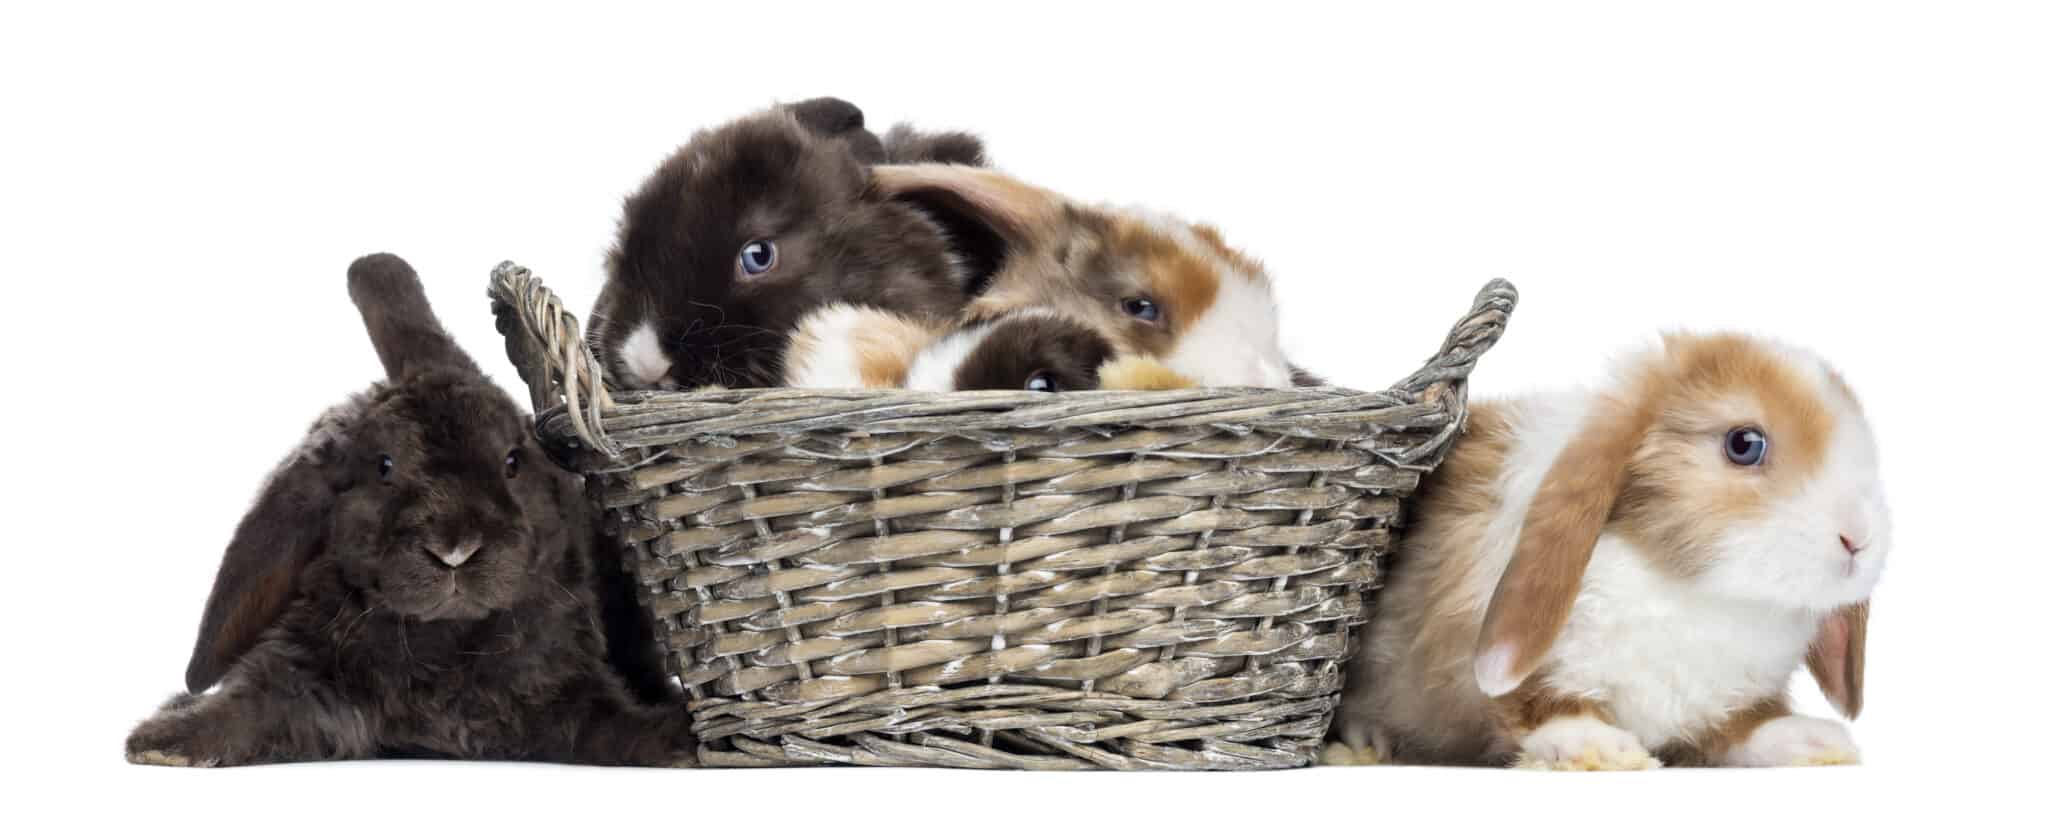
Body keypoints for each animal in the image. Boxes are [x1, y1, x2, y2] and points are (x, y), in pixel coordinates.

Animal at [124, 253, 695, 768]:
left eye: (513, 461)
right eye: (383, 466)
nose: (455, 548)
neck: (447, 635)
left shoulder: (572, 694)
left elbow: (614, 729)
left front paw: (679, 739)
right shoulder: (305, 682)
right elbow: (247, 707)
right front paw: (160, 738)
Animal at [1325, 332, 1888, 770]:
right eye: (1744, 444)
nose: (1859, 539)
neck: (1688, 589)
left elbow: (1741, 727)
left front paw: (1816, 741)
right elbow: (1537, 703)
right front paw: (1599, 748)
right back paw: (1367, 743)